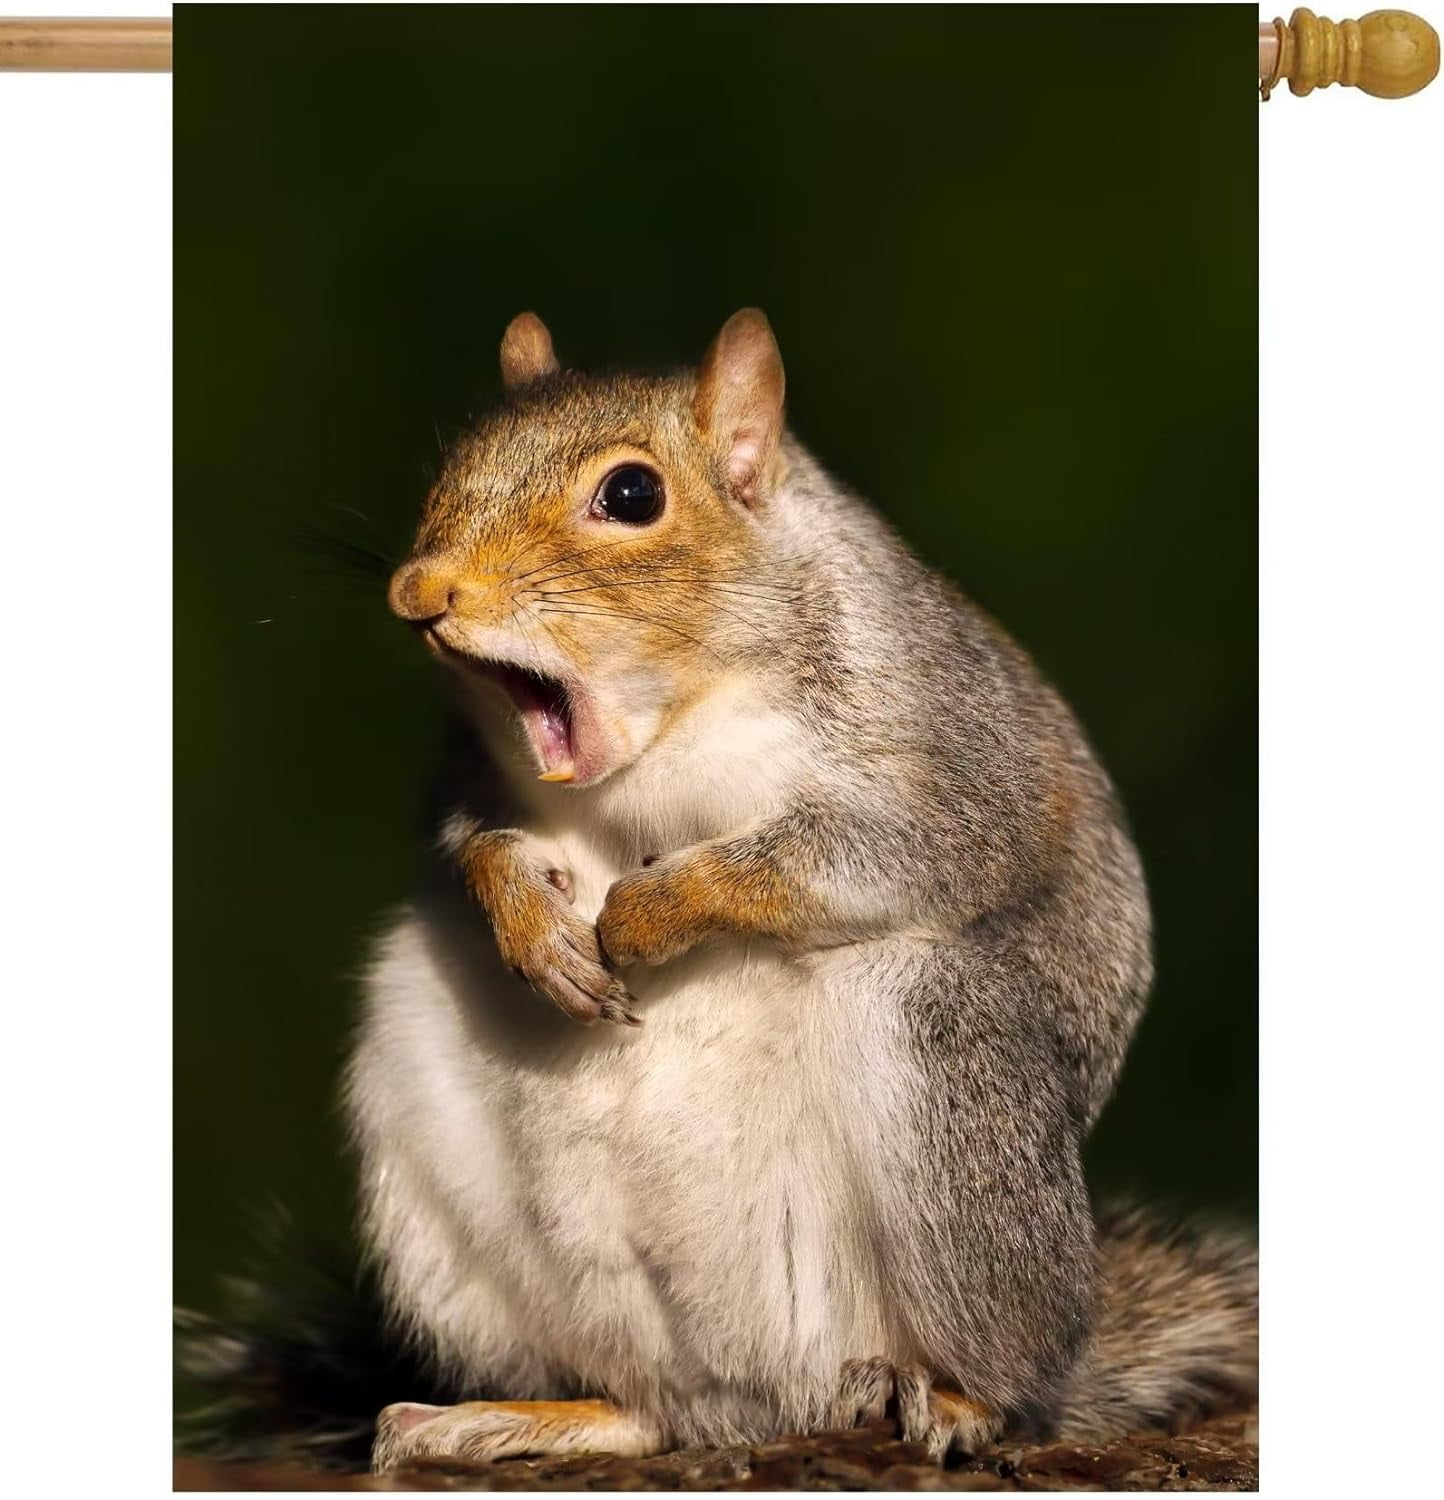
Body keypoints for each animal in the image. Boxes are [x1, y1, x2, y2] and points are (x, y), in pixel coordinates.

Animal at [338, 309, 1257, 1472]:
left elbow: (853, 856)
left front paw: (647, 913)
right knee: (649, 1407)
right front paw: (532, 923)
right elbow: (469, 840)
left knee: (1013, 1377)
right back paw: (519, 1416)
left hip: (943, 1067)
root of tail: (766, 1394)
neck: (666, 734)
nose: (420, 592)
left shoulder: (948, 763)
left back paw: (954, 1398)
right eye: (454, 461)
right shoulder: (466, 770)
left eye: (631, 494)